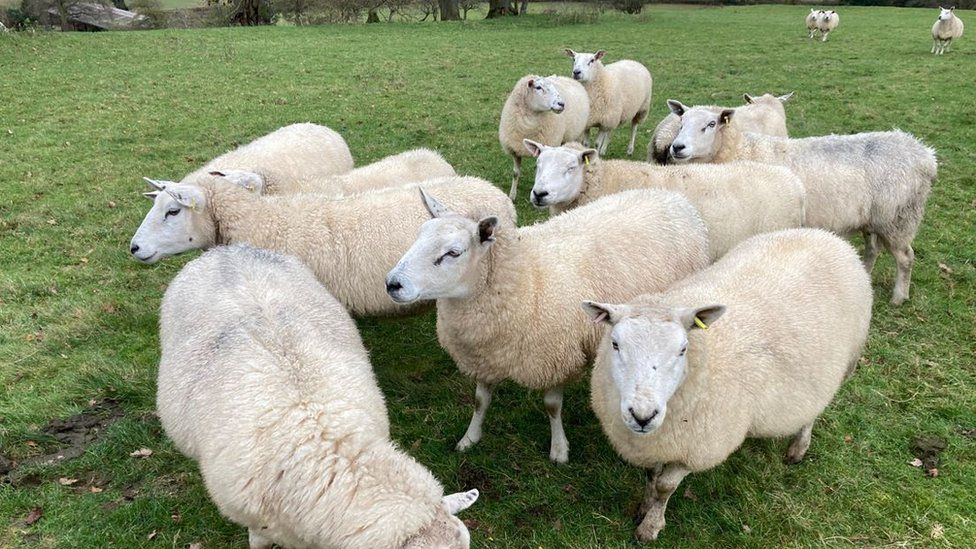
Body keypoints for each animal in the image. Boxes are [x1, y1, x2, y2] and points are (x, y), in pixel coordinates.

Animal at [385, 188, 709, 464]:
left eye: (453, 253)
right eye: (418, 237)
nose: (392, 284)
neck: (525, 279)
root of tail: (672, 196)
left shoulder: (555, 356)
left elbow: (552, 406)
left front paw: (559, 449)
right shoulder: (485, 355)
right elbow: (480, 401)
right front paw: (470, 438)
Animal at [583, 228, 872, 542]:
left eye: (683, 349)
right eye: (615, 344)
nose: (642, 415)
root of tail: (828, 236)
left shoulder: (697, 449)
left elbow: (665, 487)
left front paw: (651, 526)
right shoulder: (656, 444)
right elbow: (651, 478)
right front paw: (644, 507)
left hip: (844, 363)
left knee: (814, 411)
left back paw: (798, 448)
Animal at [667, 105, 936, 305]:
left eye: (711, 124)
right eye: (681, 123)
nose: (677, 147)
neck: (742, 150)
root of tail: (926, 155)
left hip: (899, 218)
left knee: (905, 257)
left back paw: (899, 297)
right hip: (872, 219)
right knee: (872, 250)